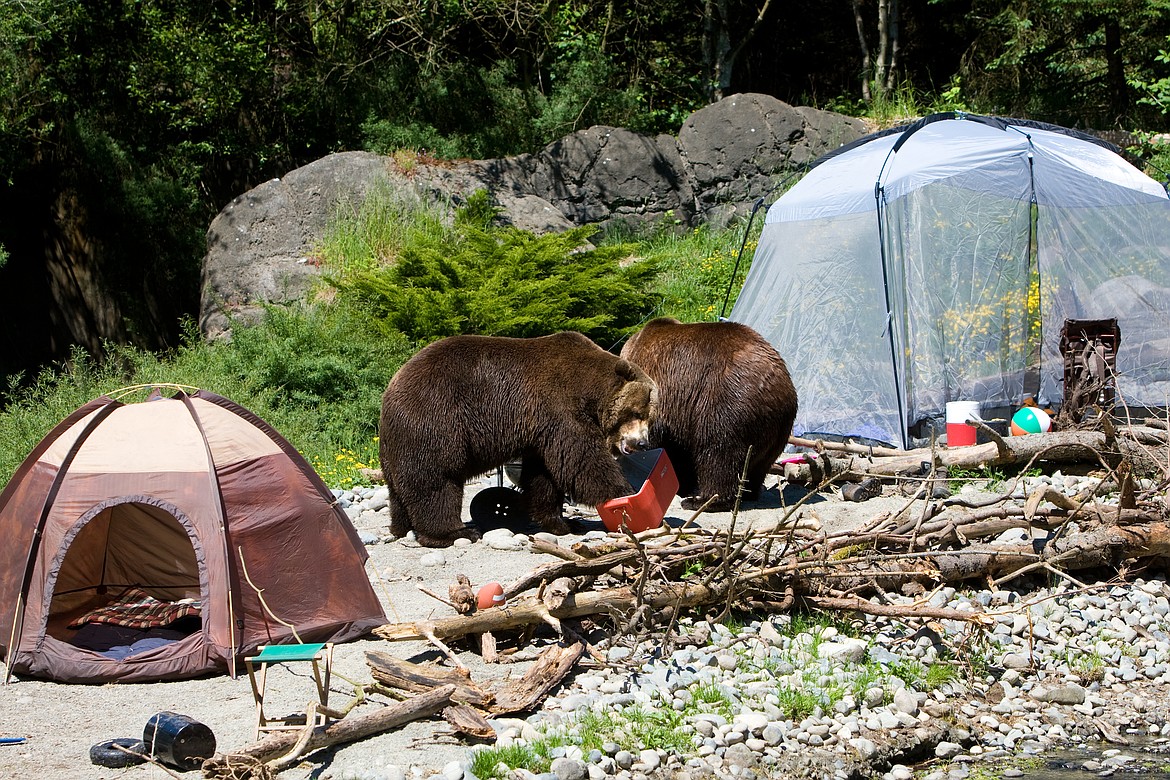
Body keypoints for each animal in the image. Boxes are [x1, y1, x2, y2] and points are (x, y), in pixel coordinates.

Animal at [379, 331, 659, 547]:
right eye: (636, 412)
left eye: (650, 416)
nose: (642, 443)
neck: (588, 389)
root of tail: (391, 388)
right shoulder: (559, 407)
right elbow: (582, 460)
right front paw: (626, 492)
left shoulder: (540, 430)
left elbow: (544, 475)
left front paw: (563, 522)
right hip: (436, 421)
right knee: (437, 480)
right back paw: (455, 532)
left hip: (398, 442)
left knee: (401, 487)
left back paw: (400, 527)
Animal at [620, 317, 798, 512]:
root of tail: (782, 387)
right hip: (779, 428)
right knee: (759, 464)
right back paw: (749, 492)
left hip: (726, 403)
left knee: (718, 452)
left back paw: (702, 500)